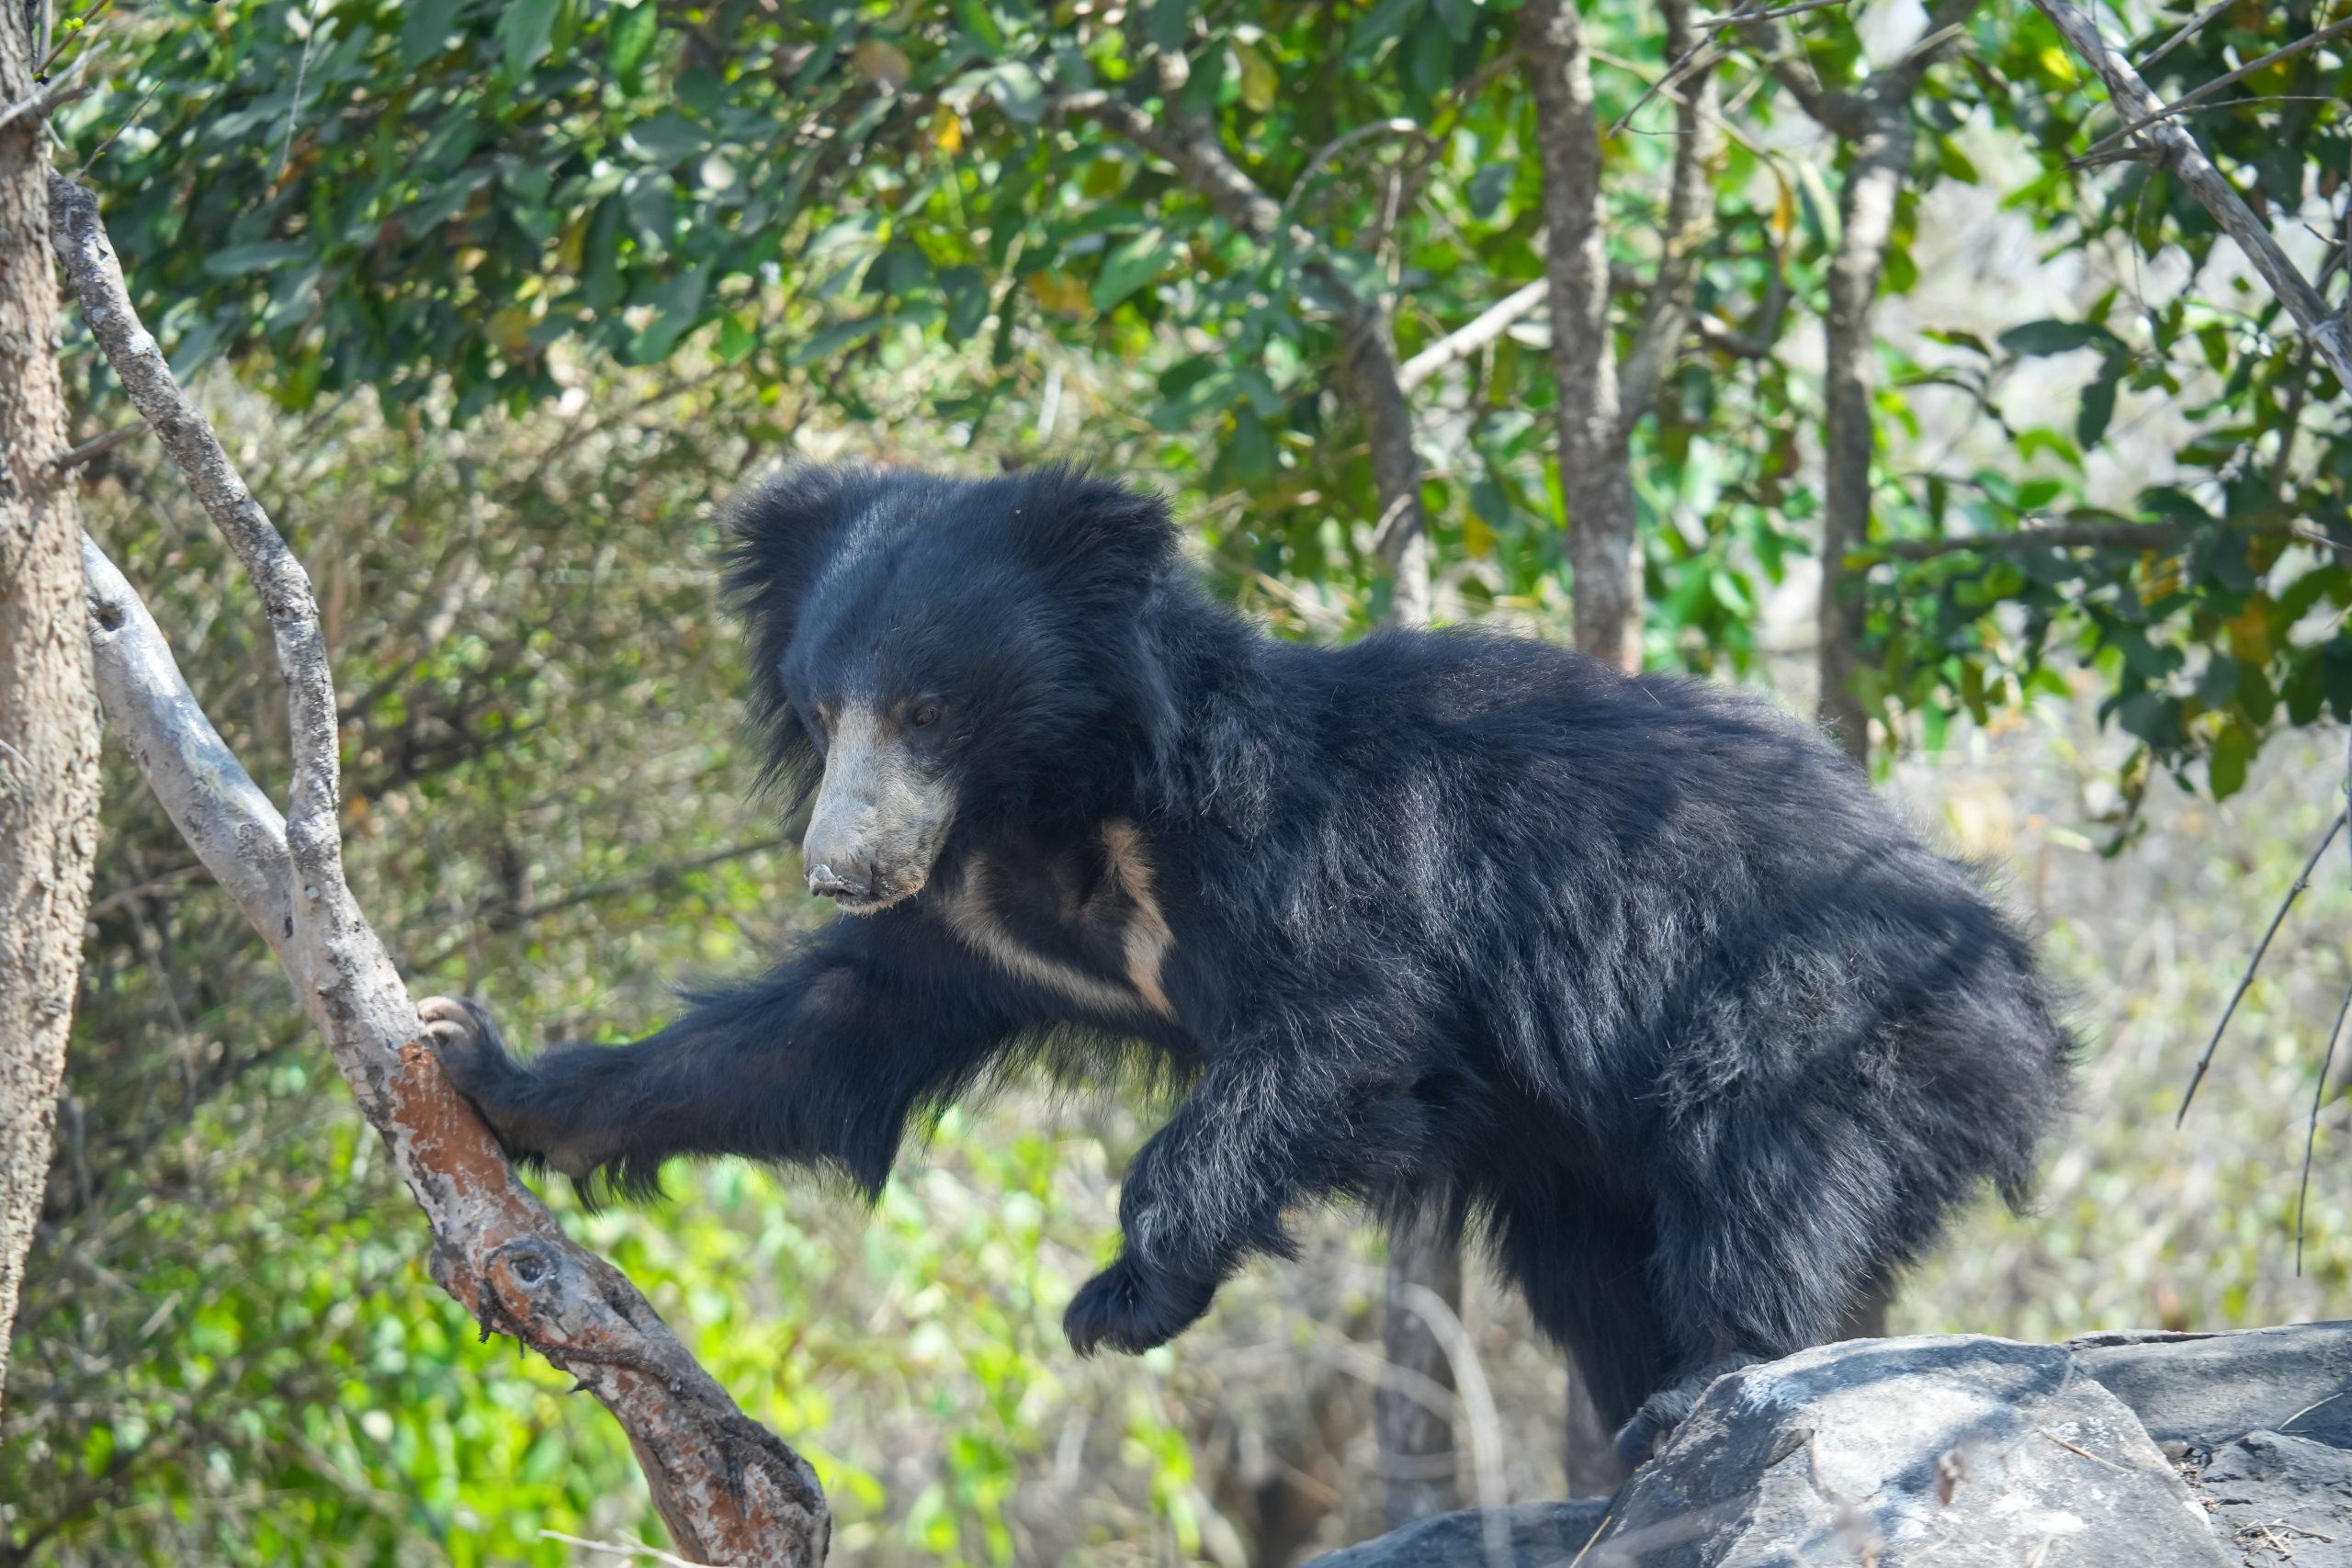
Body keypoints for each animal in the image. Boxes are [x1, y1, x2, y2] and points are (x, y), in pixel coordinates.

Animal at [427, 461, 2073, 1463]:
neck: (1054, 804)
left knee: (1764, 1208)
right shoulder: (973, 930)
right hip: (1587, 1165)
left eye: (929, 709)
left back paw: (1719, 1394)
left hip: (1823, 1026)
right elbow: (813, 1033)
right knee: (1607, 1279)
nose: (844, 860)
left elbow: (1342, 1027)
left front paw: (1120, 1296)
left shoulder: (1300, 854)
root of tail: (2025, 999)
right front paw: (479, 1060)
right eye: (825, 709)